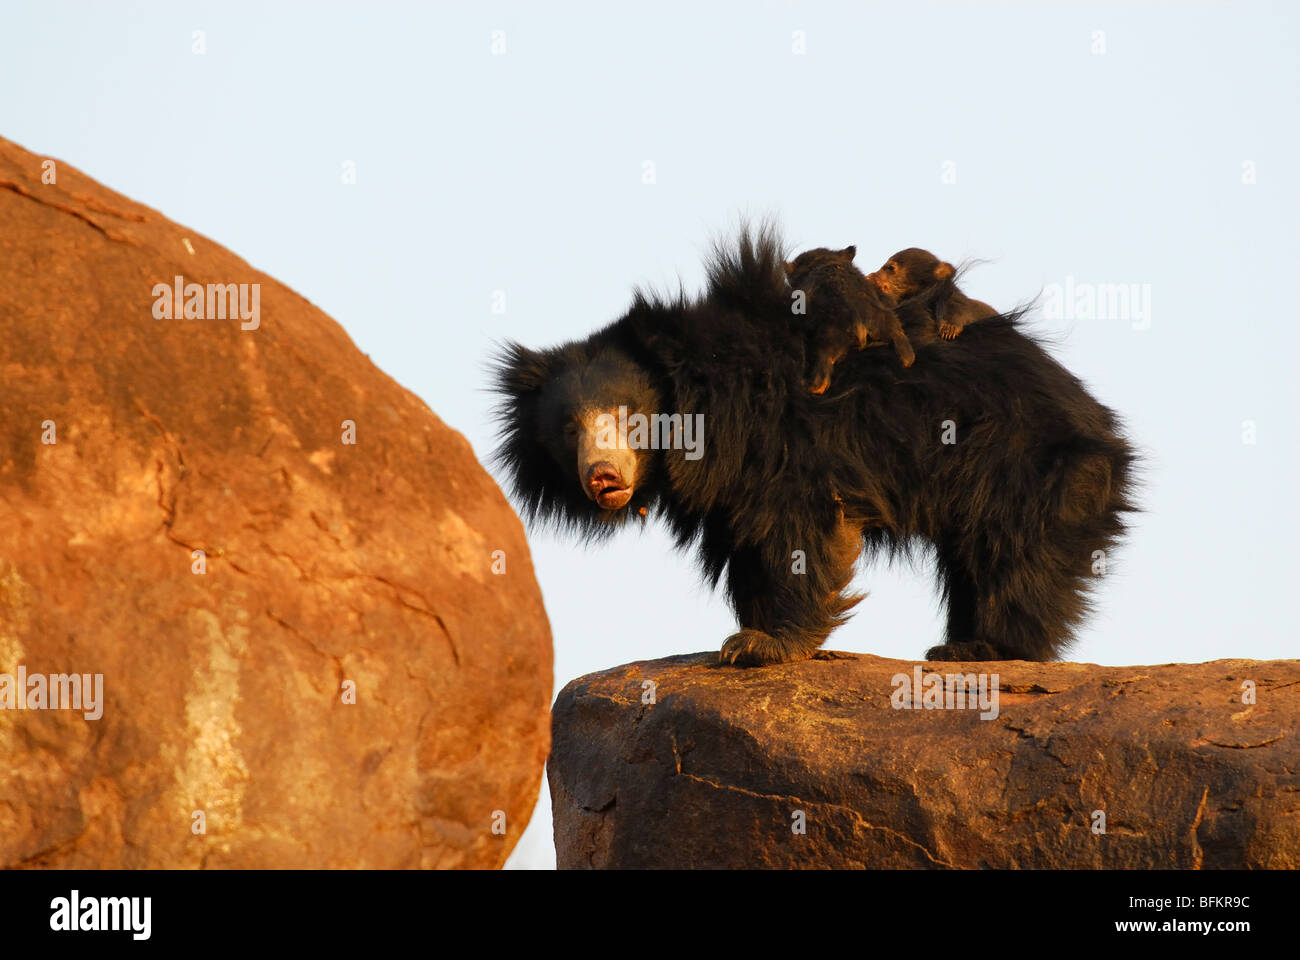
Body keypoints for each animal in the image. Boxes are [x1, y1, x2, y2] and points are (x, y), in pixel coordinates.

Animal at [784, 244, 916, 393]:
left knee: (822, 376)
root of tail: (861, 321)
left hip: (828, 342)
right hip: (891, 325)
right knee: (907, 354)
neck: (825, 261)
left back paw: (808, 385)